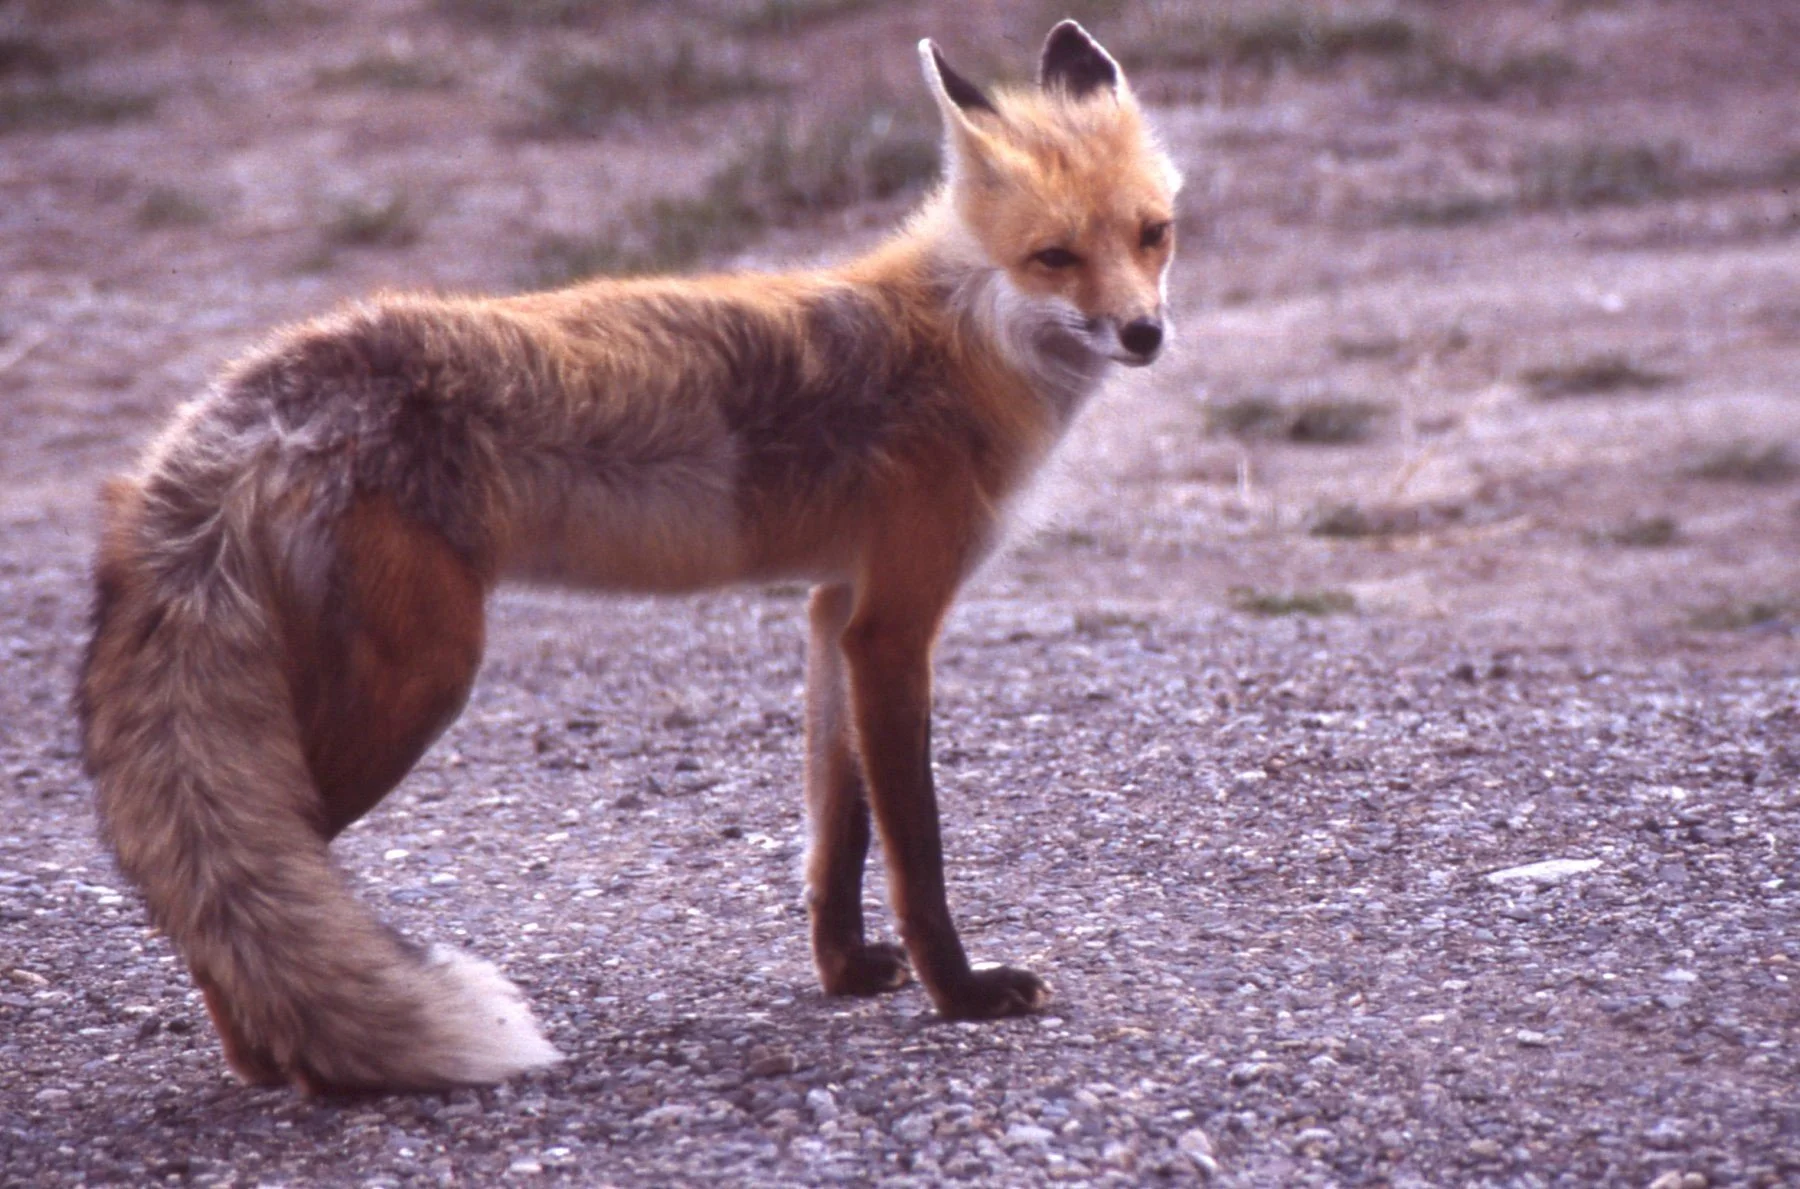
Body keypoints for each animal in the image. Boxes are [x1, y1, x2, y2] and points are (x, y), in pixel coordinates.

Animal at [76, 21, 1180, 1094]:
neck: (959, 339)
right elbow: (919, 847)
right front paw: (961, 995)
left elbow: (839, 828)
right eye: (1053, 256)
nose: (1146, 333)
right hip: (418, 681)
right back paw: (284, 1059)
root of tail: (251, 396)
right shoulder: (895, 623)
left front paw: (842, 970)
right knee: (231, 882)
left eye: (1151, 233)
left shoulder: (836, 608)